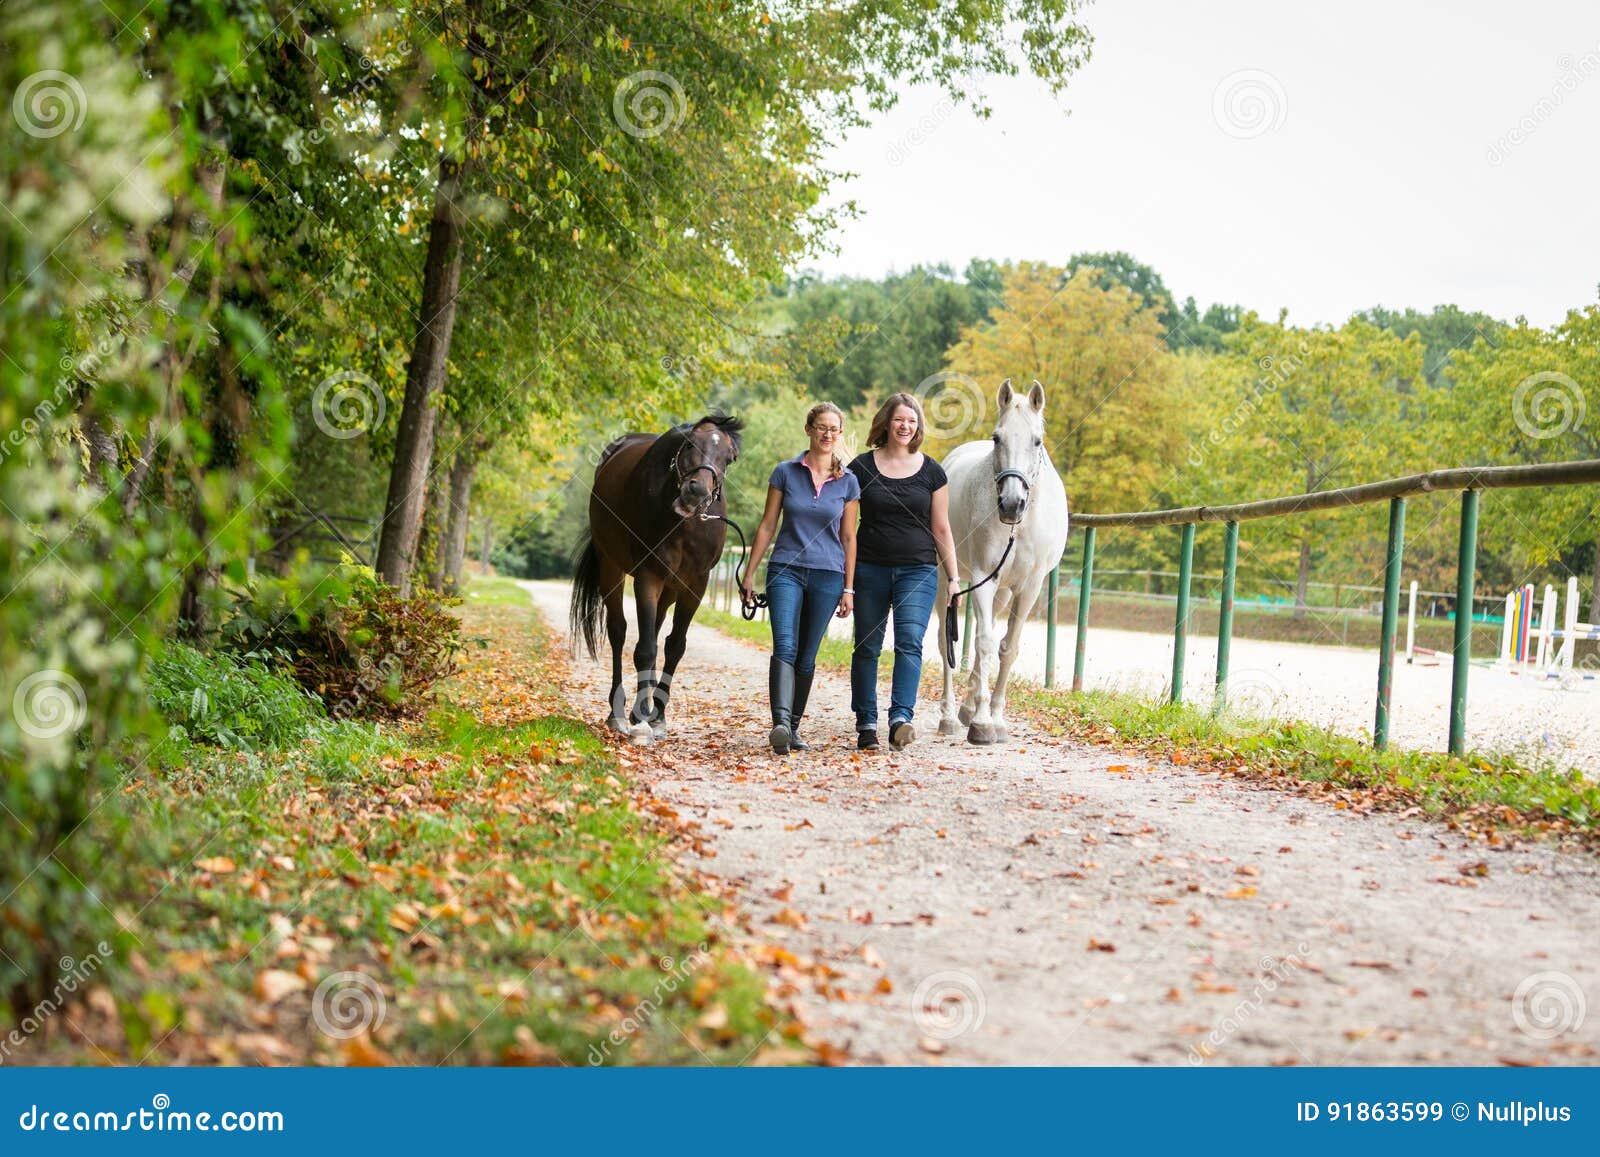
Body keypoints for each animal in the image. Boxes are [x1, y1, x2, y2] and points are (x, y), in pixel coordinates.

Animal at [569, 412, 743, 744]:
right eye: (690, 443)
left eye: (730, 457)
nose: (696, 493)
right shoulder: (648, 577)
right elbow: (646, 649)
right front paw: (640, 719)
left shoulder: (695, 585)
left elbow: (674, 646)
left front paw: (658, 716)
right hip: (611, 568)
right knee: (619, 632)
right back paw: (618, 713)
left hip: (670, 588)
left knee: (658, 626)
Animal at [937, 379, 1069, 744]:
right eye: (997, 438)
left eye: (1037, 440)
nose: (1012, 504)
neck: (1019, 527)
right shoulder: (985, 576)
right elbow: (984, 644)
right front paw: (983, 724)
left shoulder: (1029, 586)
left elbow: (1007, 648)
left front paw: (995, 718)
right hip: (946, 580)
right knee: (944, 639)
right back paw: (951, 716)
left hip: (1004, 592)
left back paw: (966, 709)